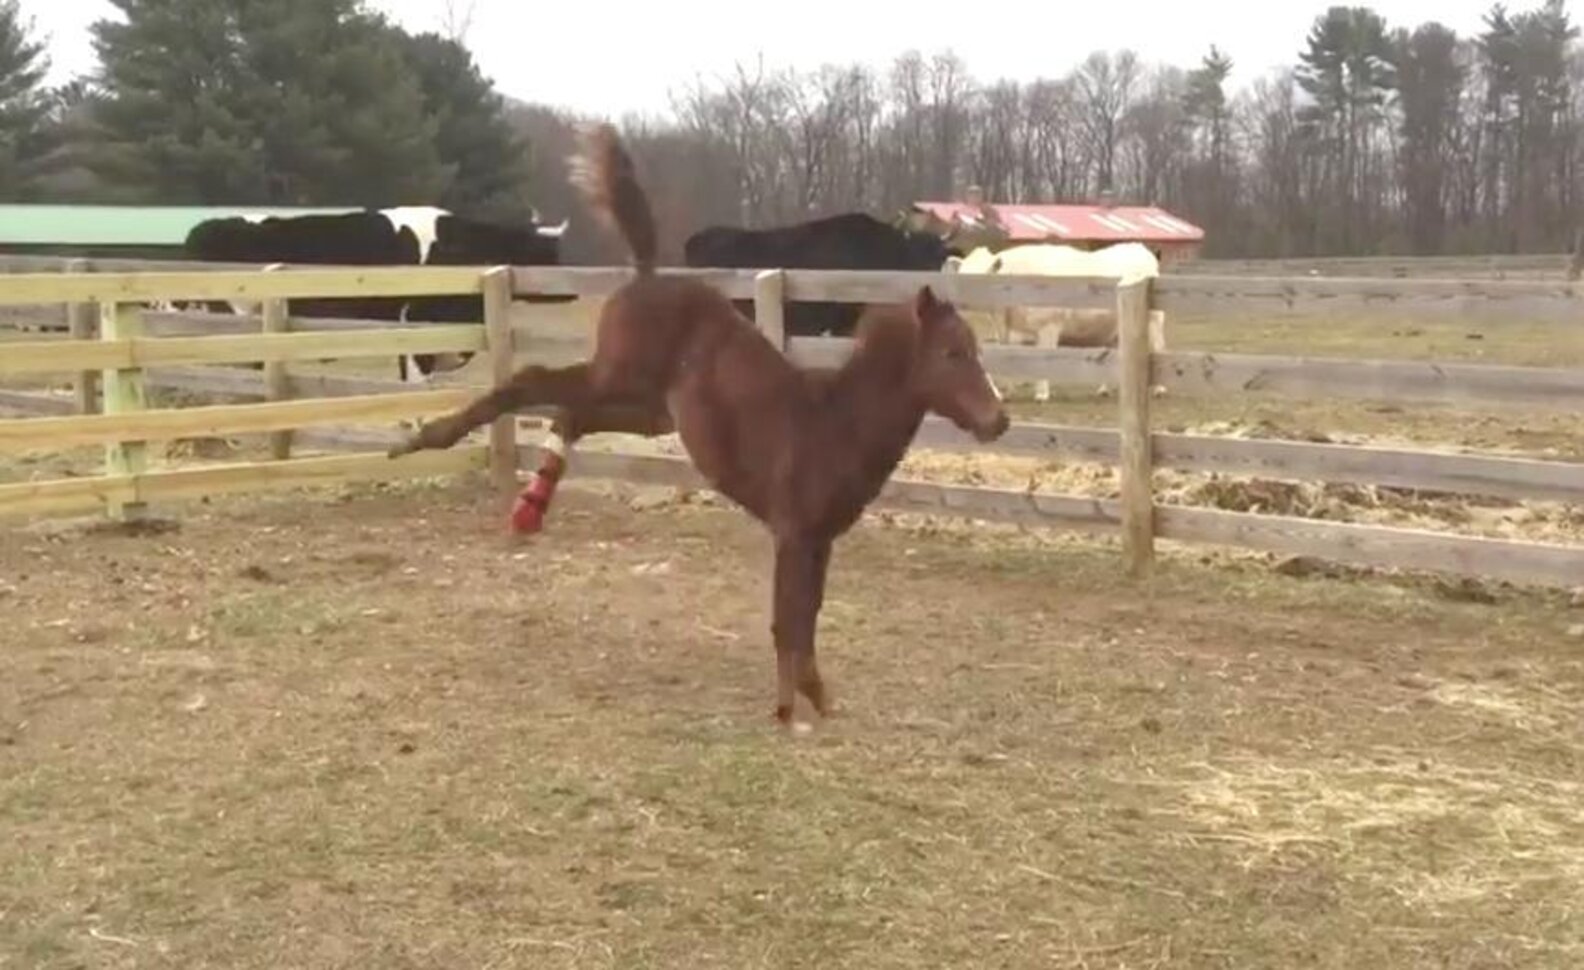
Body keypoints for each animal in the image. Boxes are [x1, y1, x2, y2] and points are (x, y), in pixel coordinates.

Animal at [389, 123, 1010, 728]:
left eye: (975, 350)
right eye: (953, 353)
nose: (999, 419)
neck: (837, 422)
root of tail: (646, 273)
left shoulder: (821, 539)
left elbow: (808, 613)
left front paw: (815, 696)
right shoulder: (794, 532)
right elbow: (788, 616)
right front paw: (787, 709)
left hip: (649, 410)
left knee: (572, 413)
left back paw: (529, 504)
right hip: (618, 377)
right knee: (535, 383)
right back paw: (424, 442)